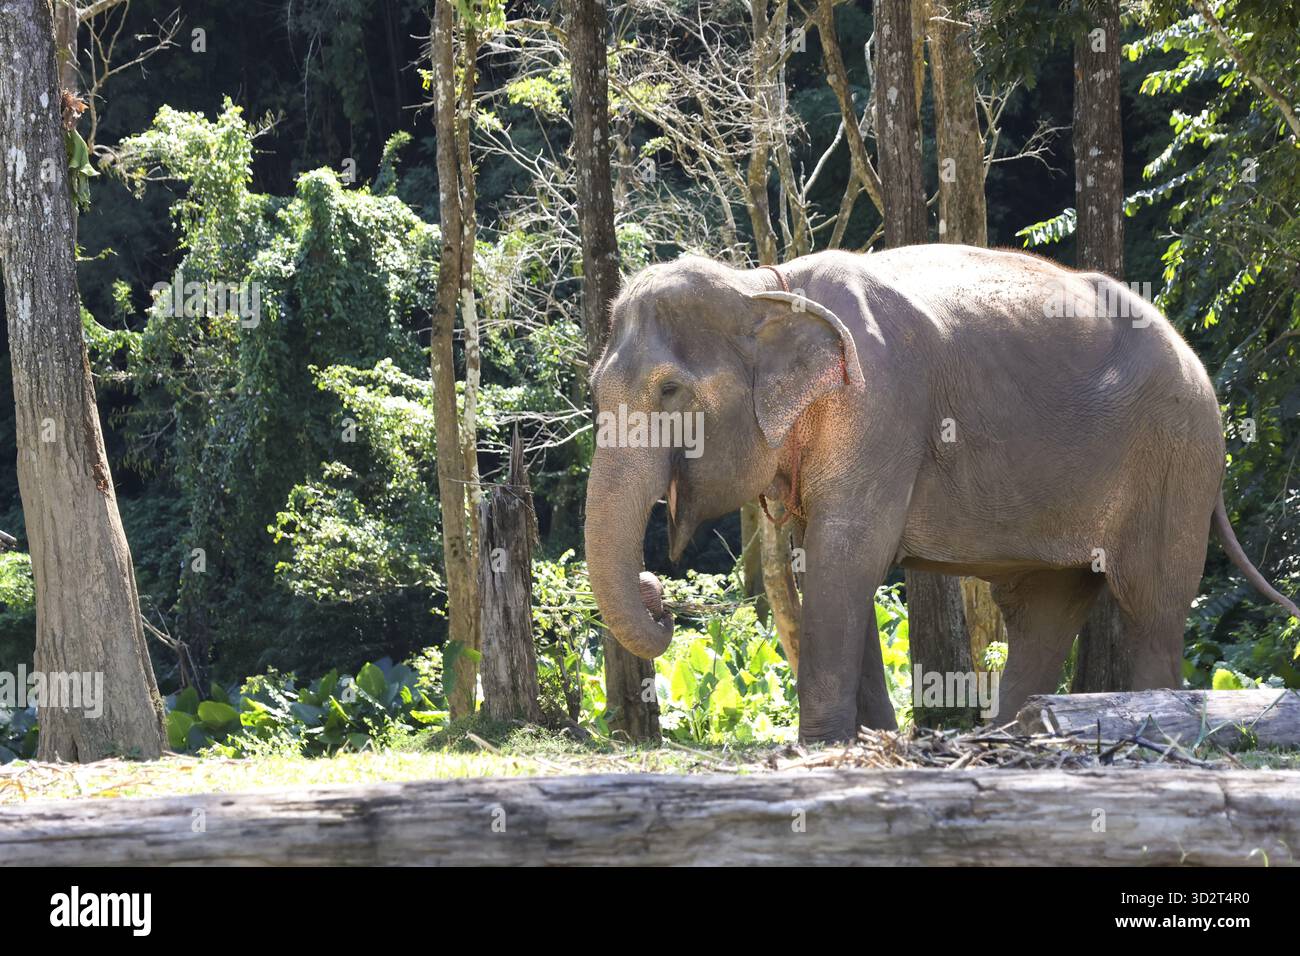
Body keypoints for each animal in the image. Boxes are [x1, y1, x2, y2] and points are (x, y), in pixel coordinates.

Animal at [583, 245, 1300, 743]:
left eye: (669, 391)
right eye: (595, 390)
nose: (659, 594)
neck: (765, 285)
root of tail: (1195, 357)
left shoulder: (881, 406)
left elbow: (848, 555)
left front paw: (819, 745)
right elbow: (826, 562)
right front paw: (871, 736)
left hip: (1174, 459)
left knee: (1151, 604)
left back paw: (1154, 723)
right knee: (1046, 607)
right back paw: (1015, 732)